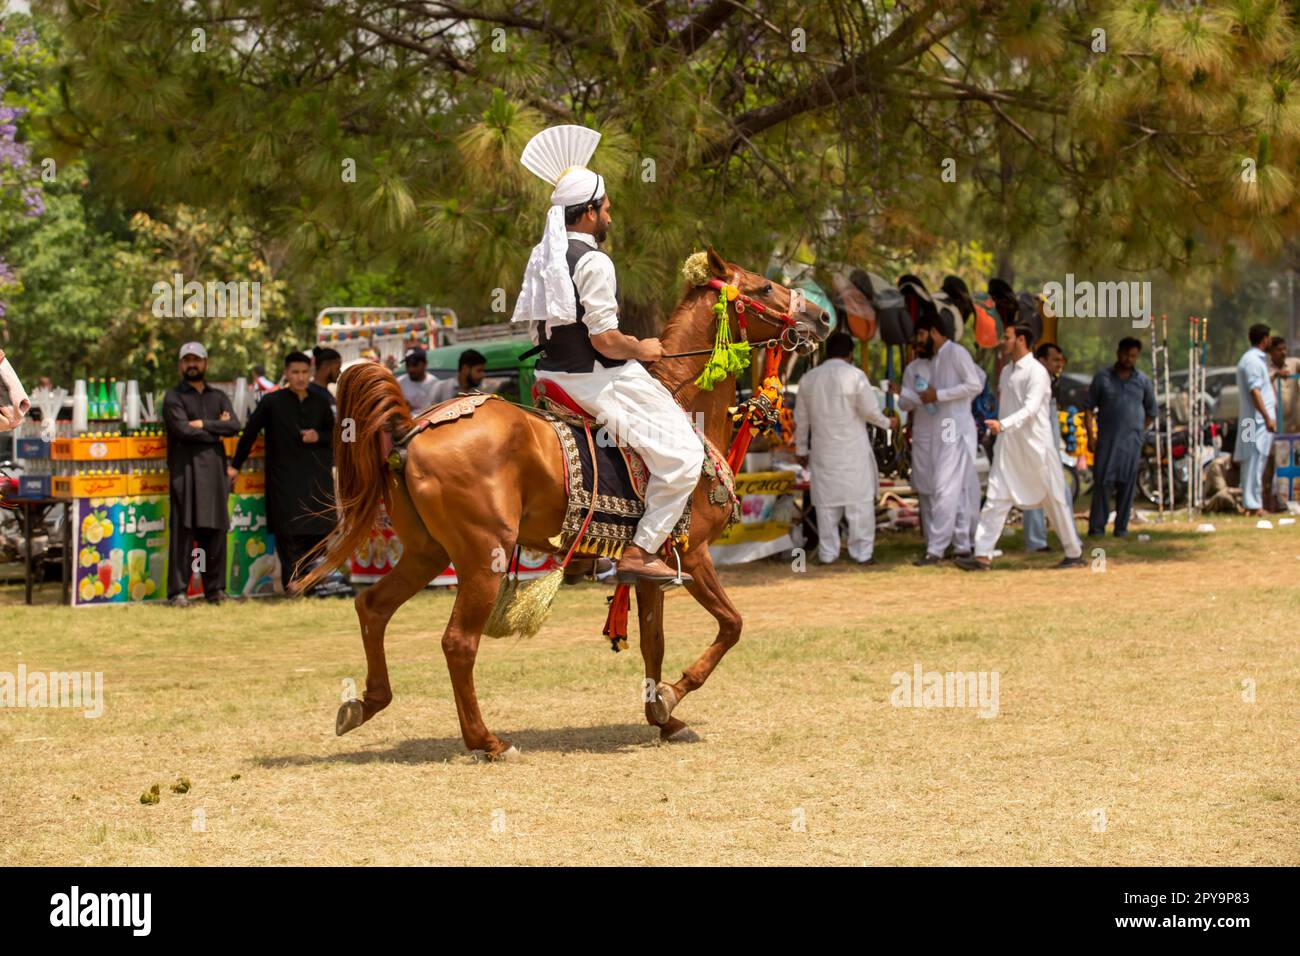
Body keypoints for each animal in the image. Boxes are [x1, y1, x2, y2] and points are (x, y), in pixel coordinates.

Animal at [297, 248, 830, 758]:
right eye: (764, 287)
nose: (822, 317)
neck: (687, 406)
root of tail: (412, 428)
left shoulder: (652, 568)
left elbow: (653, 643)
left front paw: (662, 714)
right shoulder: (694, 554)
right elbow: (732, 625)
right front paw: (673, 696)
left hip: (428, 552)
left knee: (372, 607)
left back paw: (365, 703)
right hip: (482, 558)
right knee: (457, 642)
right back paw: (486, 742)